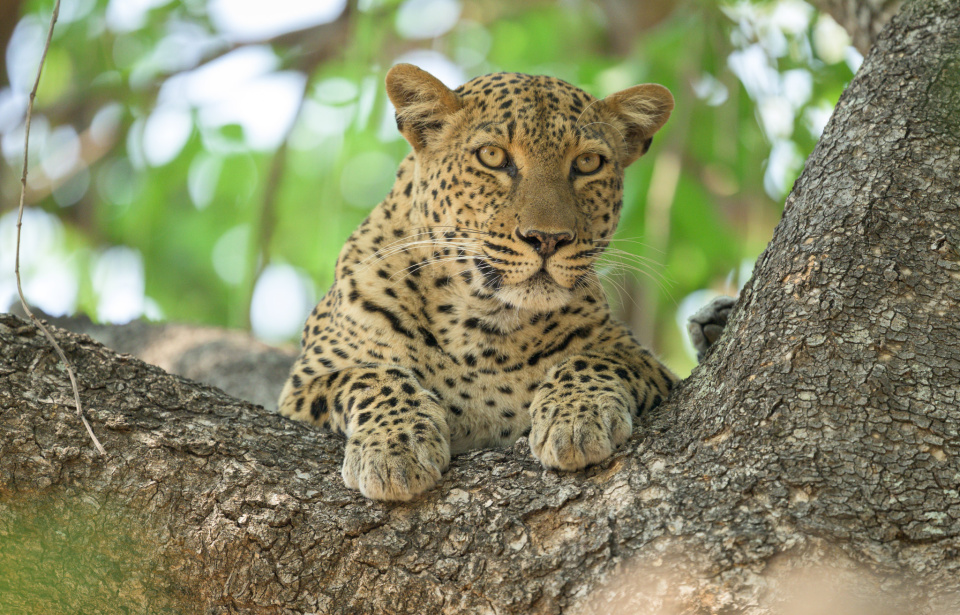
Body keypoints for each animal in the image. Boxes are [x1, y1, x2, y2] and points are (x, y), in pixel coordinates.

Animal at [278, 63, 680, 501]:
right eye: (493, 156)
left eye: (589, 162)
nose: (548, 239)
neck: (485, 326)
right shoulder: (302, 387)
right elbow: (370, 375)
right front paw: (395, 449)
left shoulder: (649, 365)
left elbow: (598, 358)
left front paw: (576, 418)